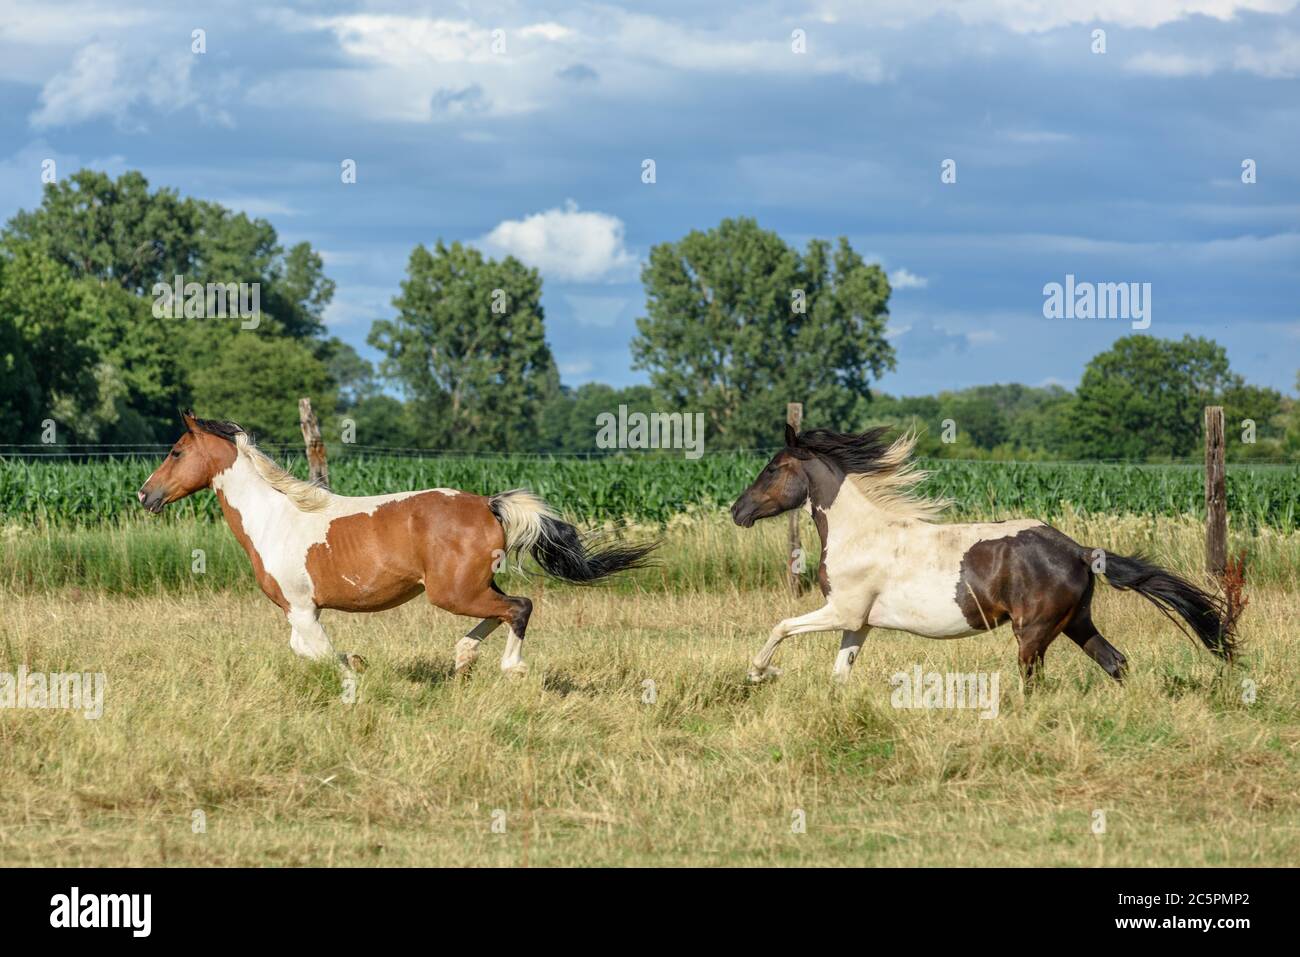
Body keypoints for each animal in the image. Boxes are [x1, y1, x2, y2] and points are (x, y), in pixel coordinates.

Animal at [138, 412, 655, 677]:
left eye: (176, 452)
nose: (145, 495)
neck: (276, 518)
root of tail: (488, 504)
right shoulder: (303, 612)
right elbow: (305, 650)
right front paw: (357, 661)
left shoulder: (302, 609)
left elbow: (317, 653)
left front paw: (354, 669)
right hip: (470, 587)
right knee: (504, 609)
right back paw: (463, 655)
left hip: (451, 593)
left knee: (520, 607)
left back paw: (511, 666)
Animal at [730, 425, 1237, 686]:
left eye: (772, 468)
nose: (737, 511)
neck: (859, 534)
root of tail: (1078, 550)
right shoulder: (859, 623)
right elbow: (840, 674)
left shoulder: (842, 610)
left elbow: (781, 626)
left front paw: (759, 673)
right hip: (1076, 621)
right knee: (1115, 662)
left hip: (1033, 632)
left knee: (1034, 679)